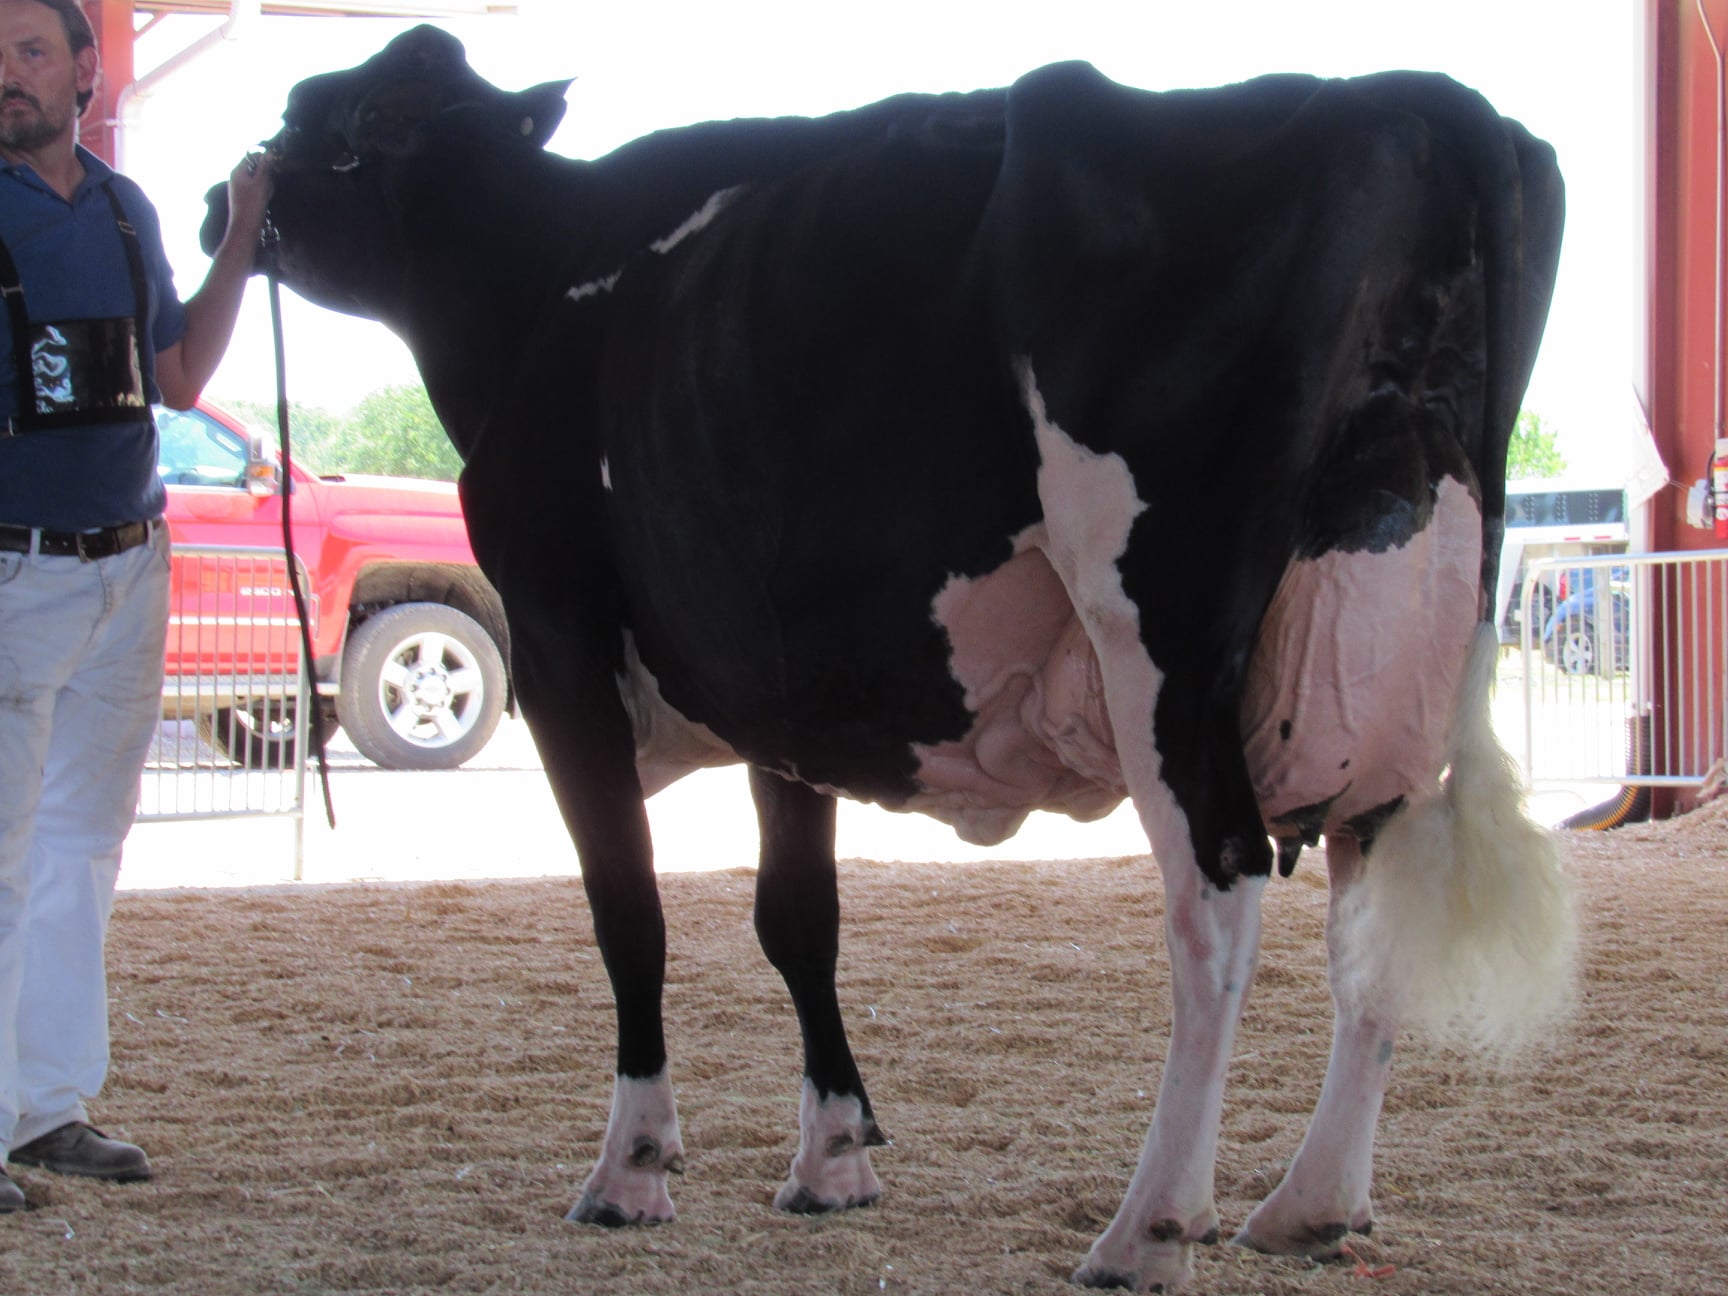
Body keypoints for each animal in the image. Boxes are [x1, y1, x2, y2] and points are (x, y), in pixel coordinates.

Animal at [205, 27, 1575, 1292]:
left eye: (323, 115)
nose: (223, 199)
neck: (537, 278)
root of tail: (1409, 96)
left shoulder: (557, 642)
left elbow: (628, 909)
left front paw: (632, 1168)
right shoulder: (778, 691)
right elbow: (797, 916)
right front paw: (832, 1160)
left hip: (1164, 628)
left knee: (1219, 896)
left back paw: (1148, 1227)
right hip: (1392, 639)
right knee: (1370, 900)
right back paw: (1312, 1204)